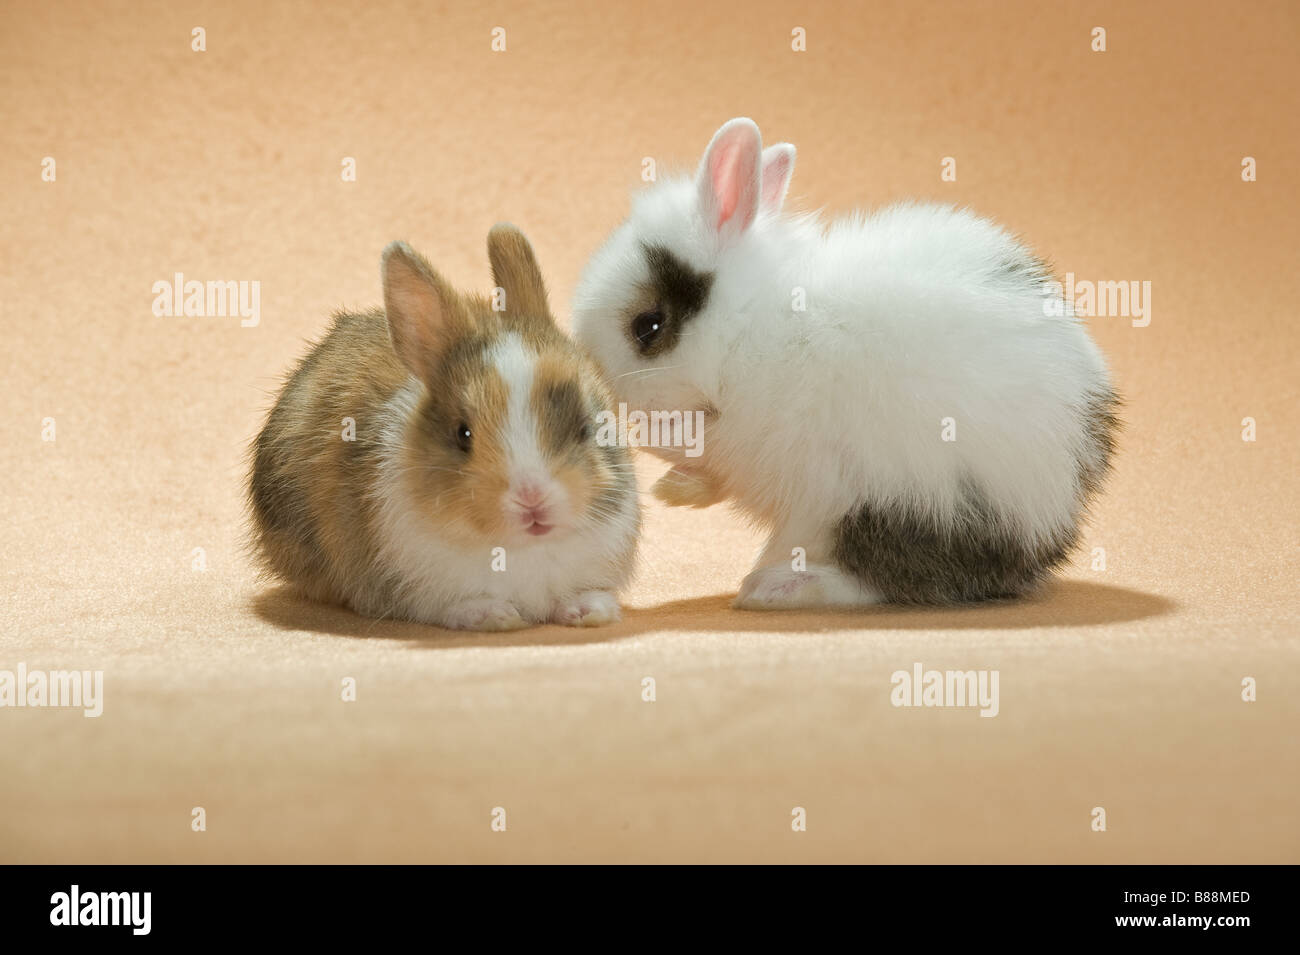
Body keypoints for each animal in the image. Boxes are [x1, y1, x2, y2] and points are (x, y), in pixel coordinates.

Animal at [248, 225, 640, 630]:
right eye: (462, 434)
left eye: (585, 427)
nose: (533, 500)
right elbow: (454, 606)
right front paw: (496, 616)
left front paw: (591, 610)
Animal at [572, 118, 1118, 609]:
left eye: (648, 326)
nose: (592, 363)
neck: (748, 326)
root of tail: (1046, 539)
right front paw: (675, 490)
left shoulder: (746, 432)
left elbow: (695, 441)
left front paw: (654, 451)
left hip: (887, 505)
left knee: (883, 579)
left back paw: (775, 588)